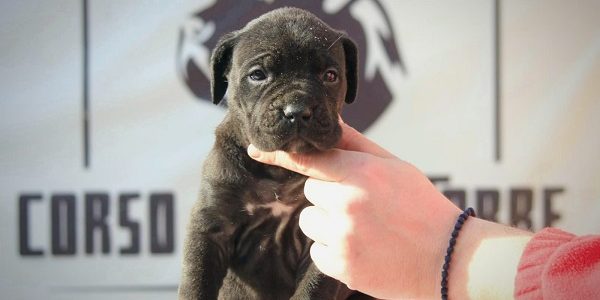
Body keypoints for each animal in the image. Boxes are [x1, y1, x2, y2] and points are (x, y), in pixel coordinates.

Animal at [178, 7, 370, 300]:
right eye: (257, 75)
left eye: (330, 76)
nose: (298, 110)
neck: (279, 172)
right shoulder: (211, 225)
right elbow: (196, 280)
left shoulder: (324, 239)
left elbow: (311, 289)